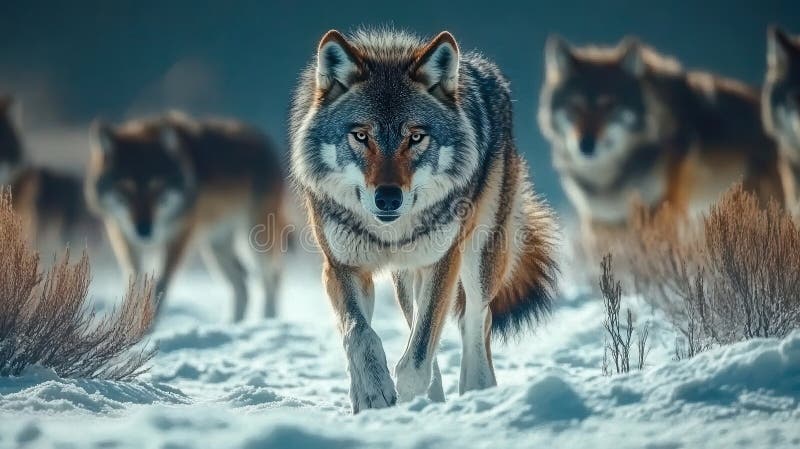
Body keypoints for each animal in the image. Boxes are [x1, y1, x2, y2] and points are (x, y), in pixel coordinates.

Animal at [85, 112, 286, 320]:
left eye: (157, 186)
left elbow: (160, 285)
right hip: (216, 248)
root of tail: (266, 143)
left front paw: (150, 324)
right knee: (243, 286)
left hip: (255, 242)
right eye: (126, 187)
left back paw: (269, 320)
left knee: (272, 278)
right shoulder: (123, 236)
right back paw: (234, 324)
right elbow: (136, 282)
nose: (144, 230)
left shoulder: (179, 236)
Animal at [290, 29, 559, 413]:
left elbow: (415, 361)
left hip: (478, 259)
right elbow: (360, 334)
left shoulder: (443, 260)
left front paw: (407, 401)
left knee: (476, 320)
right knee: (419, 324)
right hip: (406, 278)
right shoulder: (341, 266)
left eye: (415, 136)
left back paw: (477, 393)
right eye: (361, 135)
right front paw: (371, 394)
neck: (389, 232)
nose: (388, 197)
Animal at [539, 36, 784, 249]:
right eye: (575, 107)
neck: (608, 178)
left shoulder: (662, 208)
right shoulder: (600, 220)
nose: (586, 145)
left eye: (609, 106)